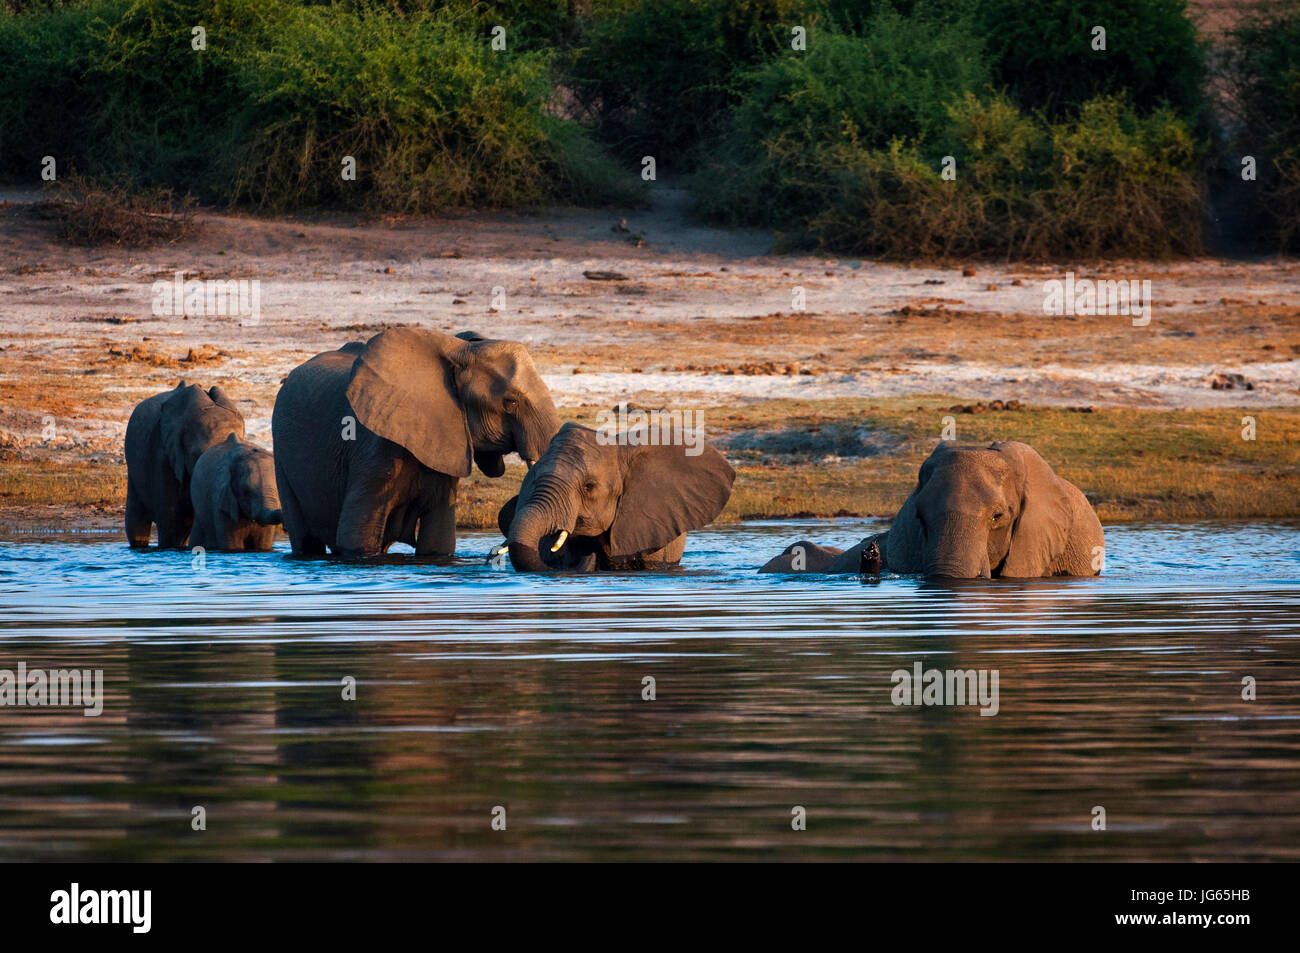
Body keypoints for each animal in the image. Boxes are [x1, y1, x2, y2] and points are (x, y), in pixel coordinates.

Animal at [271, 327, 560, 558]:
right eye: (510, 402)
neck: (460, 351)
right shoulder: (372, 446)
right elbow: (355, 538)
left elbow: (439, 540)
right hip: (281, 454)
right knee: (305, 539)